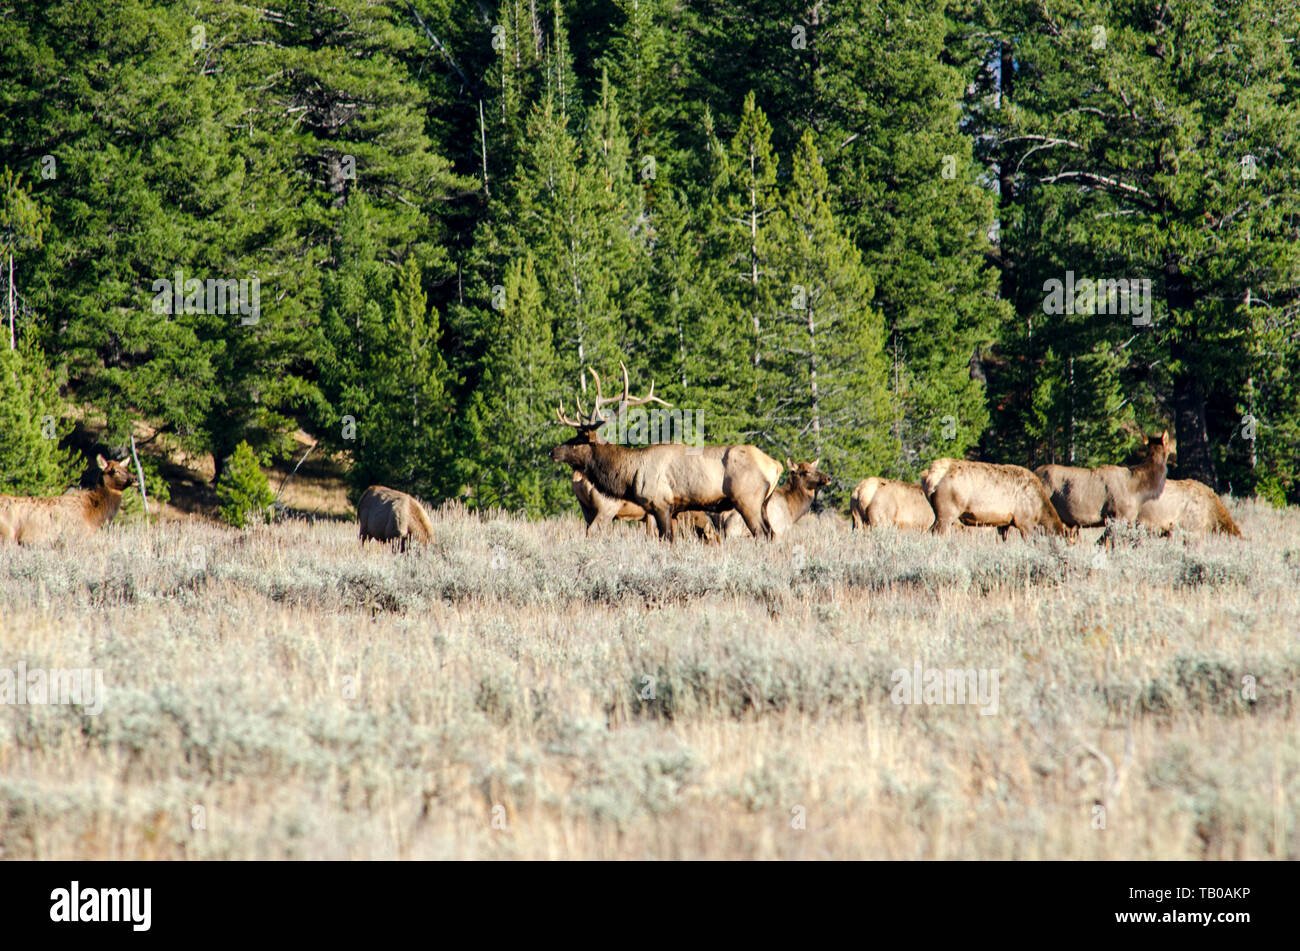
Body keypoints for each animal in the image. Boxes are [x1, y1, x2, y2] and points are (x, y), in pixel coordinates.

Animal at [0, 454, 137, 545]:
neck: (93, 516)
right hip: (6, 536)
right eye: (115, 471)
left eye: (126, 469)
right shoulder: (74, 537)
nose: (135, 478)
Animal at [551, 364, 783, 542]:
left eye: (578, 441)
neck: (630, 475)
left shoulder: (660, 503)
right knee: (772, 534)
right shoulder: (673, 510)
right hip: (763, 503)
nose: (552, 451)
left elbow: (667, 539)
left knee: (763, 533)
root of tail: (775, 465)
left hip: (748, 500)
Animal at [922, 458, 1067, 539]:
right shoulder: (1025, 521)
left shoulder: (1004, 524)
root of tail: (929, 476)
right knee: (936, 533)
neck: (1039, 510)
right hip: (947, 512)